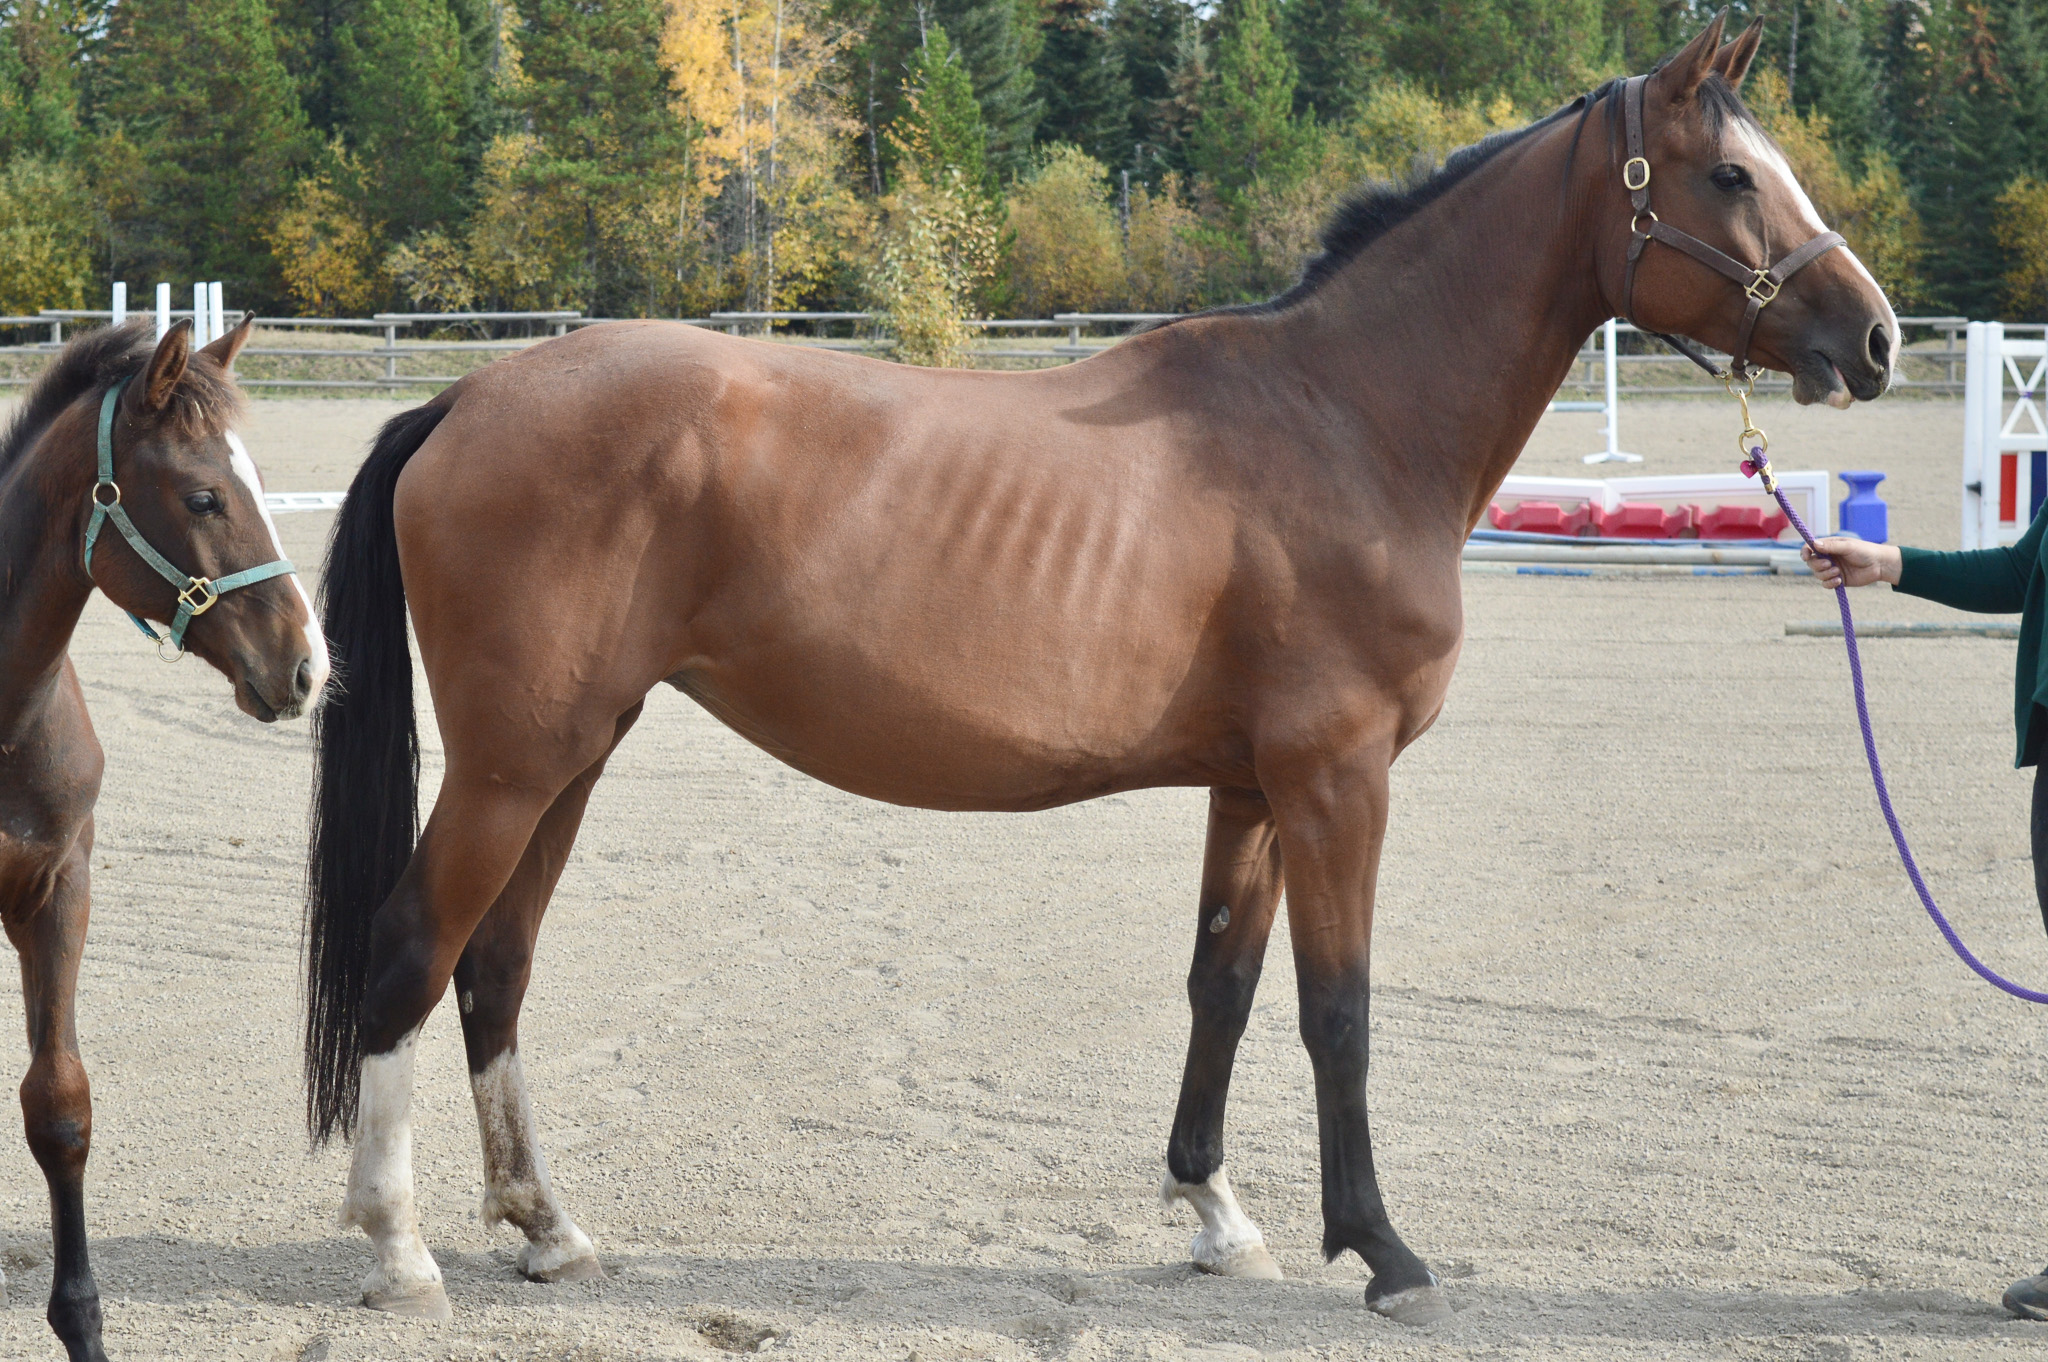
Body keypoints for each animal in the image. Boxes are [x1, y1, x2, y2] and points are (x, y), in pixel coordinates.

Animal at [305, 16, 1895, 1325]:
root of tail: (464, 398)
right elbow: (1338, 1010)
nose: (1871, 336)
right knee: (411, 950)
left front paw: (1215, 1214)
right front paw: (1384, 1252)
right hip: (514, 764)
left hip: (570, 755)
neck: (1345, 417)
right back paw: (397, 1248)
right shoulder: (1339, 782)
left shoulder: (1254, 791)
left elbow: (1223, 987)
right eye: (1731, 176)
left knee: (495, 968)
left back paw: (547, 1230)